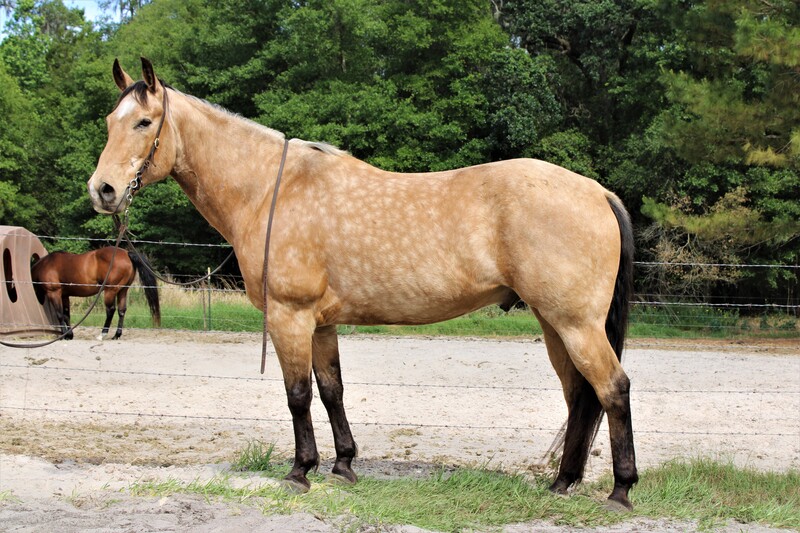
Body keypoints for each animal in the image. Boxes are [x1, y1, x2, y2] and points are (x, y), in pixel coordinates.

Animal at [31, 246, 160, 340]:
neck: (46, 265)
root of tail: (126, 253)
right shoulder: (64, 295)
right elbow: (66, 314)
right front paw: (69, 335)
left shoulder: (54, 293)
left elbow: (59, 314)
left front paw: (65, 335)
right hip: (123, 290)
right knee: (121, 311)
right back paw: (116, 335)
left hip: (110, 291)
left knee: (111, 310)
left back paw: (102, 334)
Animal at [86, 58, 638, 510]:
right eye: (110, 122)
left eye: (144, 122)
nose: (103, 191)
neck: (269, 190)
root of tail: (597, 192)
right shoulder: (320, 323)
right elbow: (332, 391)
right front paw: (343, 465)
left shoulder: (289, 316)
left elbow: (298, 395)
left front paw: (300, 471)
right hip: (555, 325)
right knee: (580, 396)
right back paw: (563, 483)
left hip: (575, 324)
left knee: (612, 388)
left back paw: (620, 490)